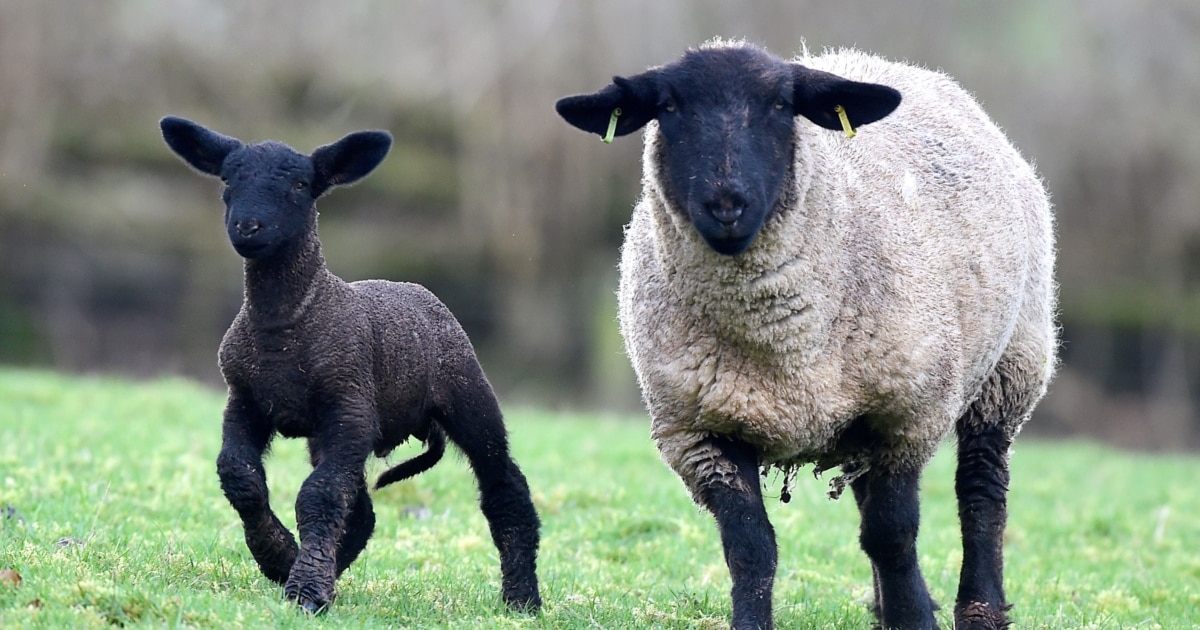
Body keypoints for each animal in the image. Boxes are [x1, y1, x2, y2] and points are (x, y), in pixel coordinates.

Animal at [158, 116, 542, 614]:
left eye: (300, 184)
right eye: (227, 180)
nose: (247, 226)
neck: (286, 325)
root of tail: (413, 288)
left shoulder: (350, 406)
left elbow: (319, 495)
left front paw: (305, 588)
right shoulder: (245, 399)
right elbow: (240, 477)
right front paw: (279, 557)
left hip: (466, 390)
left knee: (504, 486)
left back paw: (523, 597)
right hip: (333, 431)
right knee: (362, 512)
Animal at [556, 40, 1056, 630]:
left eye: (780, 105)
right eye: (669, 108)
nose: (727, 205)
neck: (784, 345)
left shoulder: (909, 414)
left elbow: (892, 535)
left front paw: (914, 618)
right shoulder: (699, 433)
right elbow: (751, 548)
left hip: (1013, 364)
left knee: (981, 490)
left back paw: (979, 609)